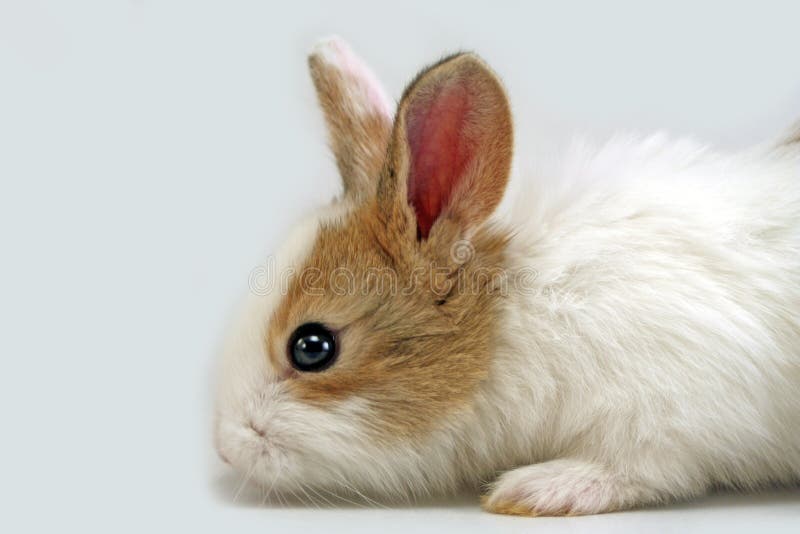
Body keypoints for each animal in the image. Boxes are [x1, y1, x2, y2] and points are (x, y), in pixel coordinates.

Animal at [213, 36, 800, 516]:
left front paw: (542, 489)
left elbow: (643, 466)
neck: (506, 321)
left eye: (312, 347)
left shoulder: (667, 409)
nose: (225, 448)